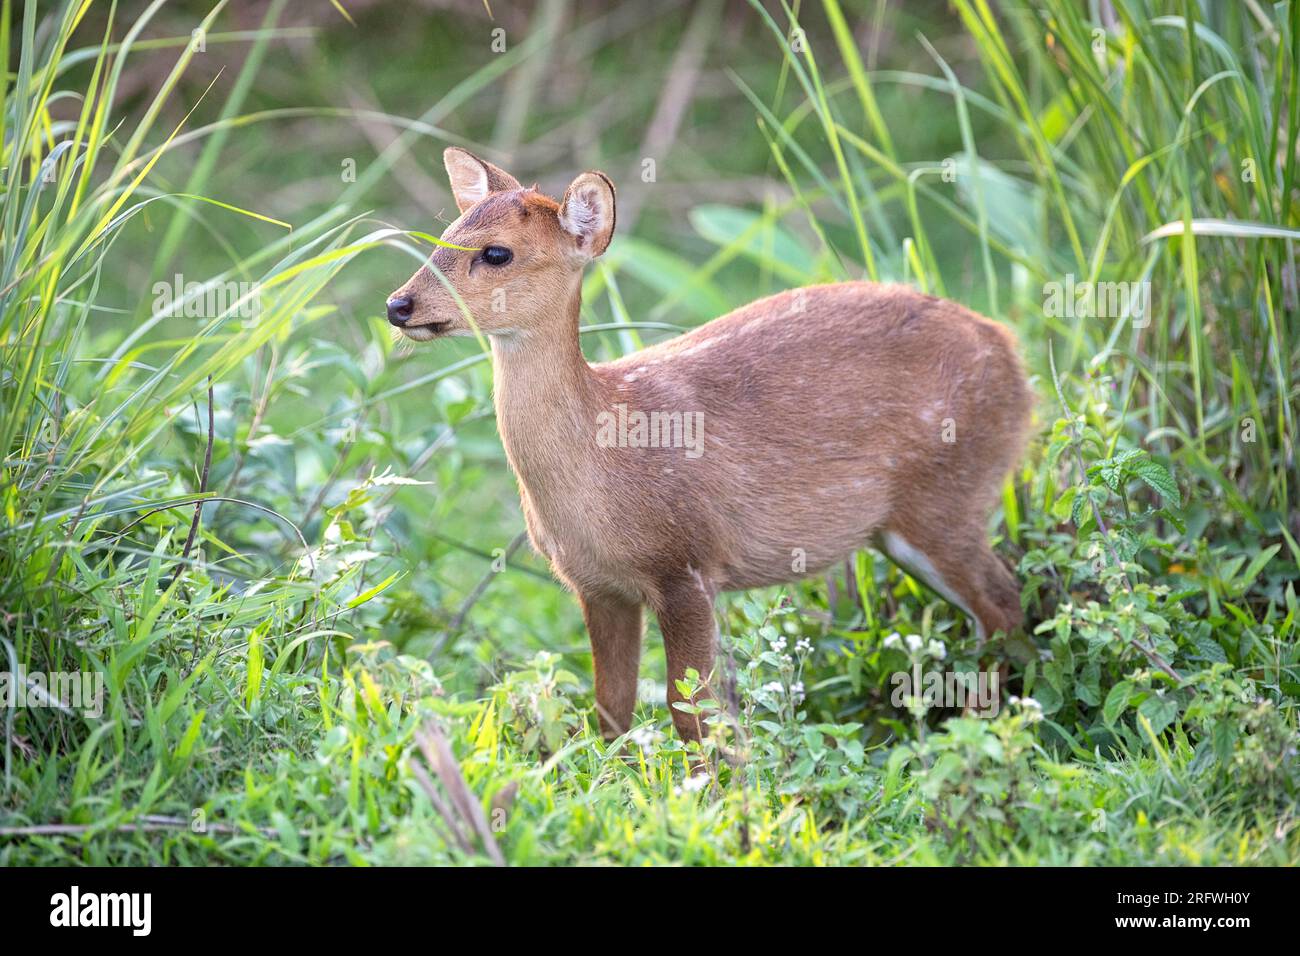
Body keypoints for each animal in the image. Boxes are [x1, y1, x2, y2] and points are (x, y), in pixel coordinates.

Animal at [387, 148, 1033, 745]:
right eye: (442, 235)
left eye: (496, 252)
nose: (398, 305)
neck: (604, 459)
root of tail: (1011, 352)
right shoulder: (597, 586)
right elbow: (610, 711)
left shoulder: (686, 565)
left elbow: (692, 715)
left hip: (947, 501)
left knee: (1005, 607)